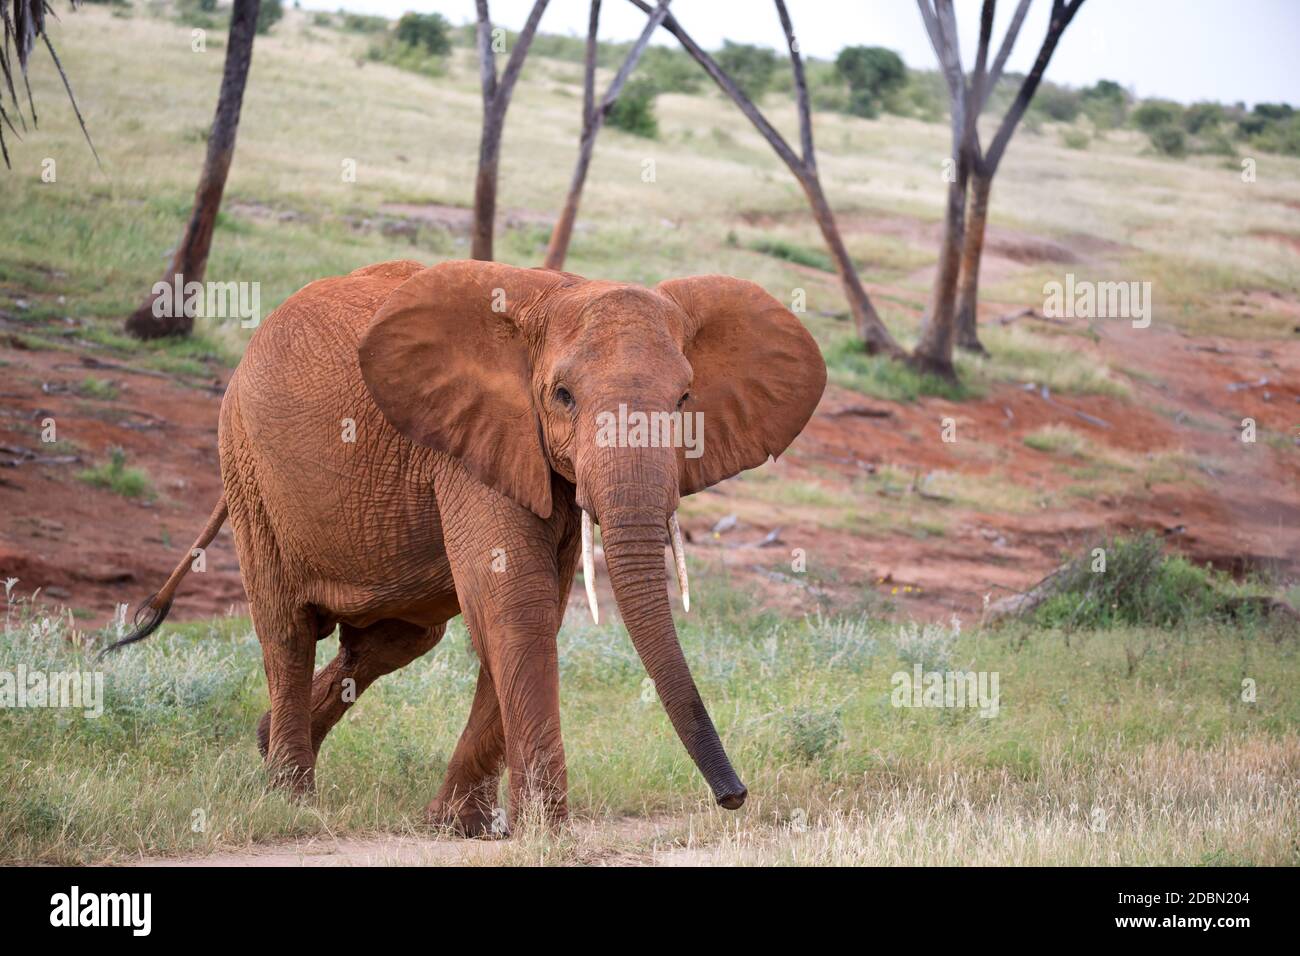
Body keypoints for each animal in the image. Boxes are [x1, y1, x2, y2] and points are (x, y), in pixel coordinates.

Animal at [106, 258, 826, 834]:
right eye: (562, 396)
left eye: (684, 400)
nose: (734, 797)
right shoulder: (471, 444)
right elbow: (515, 605)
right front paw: (545, 830)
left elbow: (527, 610)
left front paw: (458, 827)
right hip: (248, 465)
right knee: (286, 630)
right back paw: (291, 799)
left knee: (391, 641)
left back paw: (267, 745)